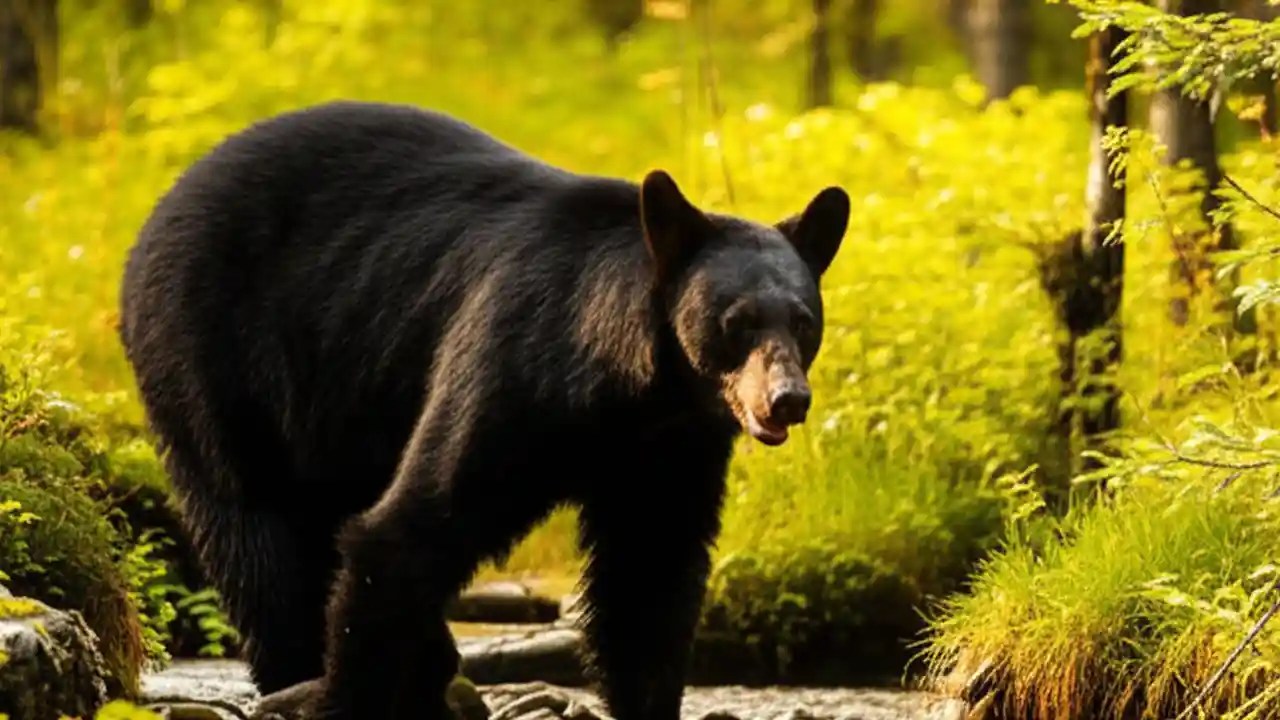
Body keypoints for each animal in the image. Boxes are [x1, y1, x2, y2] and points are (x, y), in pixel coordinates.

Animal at [117, 100, 850, 720]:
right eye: (738, 321)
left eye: (804, 321)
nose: (788, 399)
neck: (634, 389)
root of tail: (162, 207)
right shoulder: (513, 369)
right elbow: (411, 525)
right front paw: (352, 693)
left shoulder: (671, 447)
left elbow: (649, 572)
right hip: (217, 354)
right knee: (259, 533)